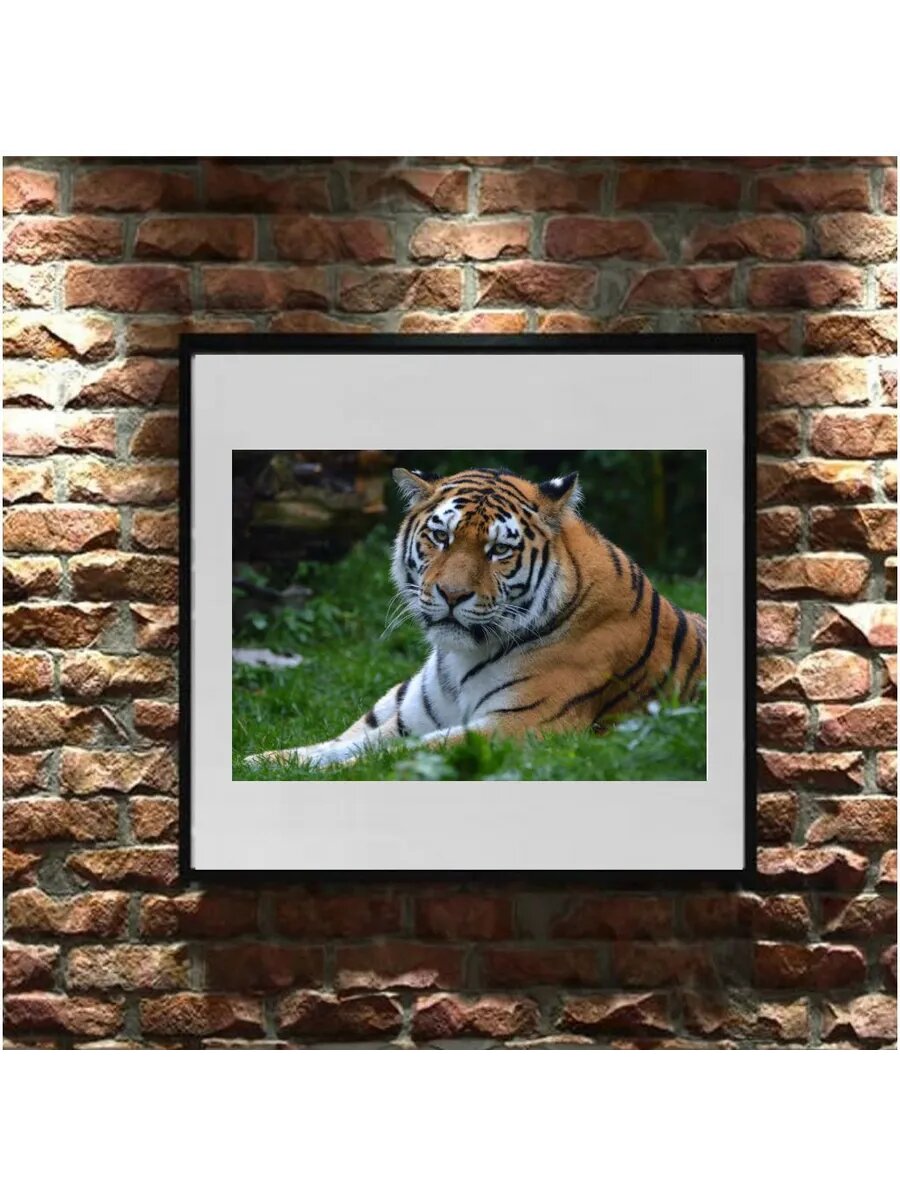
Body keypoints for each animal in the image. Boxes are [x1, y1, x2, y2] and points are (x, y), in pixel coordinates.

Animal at [244, 466, 706, 770]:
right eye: (440, 537)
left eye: (499, 550)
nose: (452, 594)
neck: (460, 657)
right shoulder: (411, 722)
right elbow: (347, 746)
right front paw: (265, 762)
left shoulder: (521, 726)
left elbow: (399, 755)